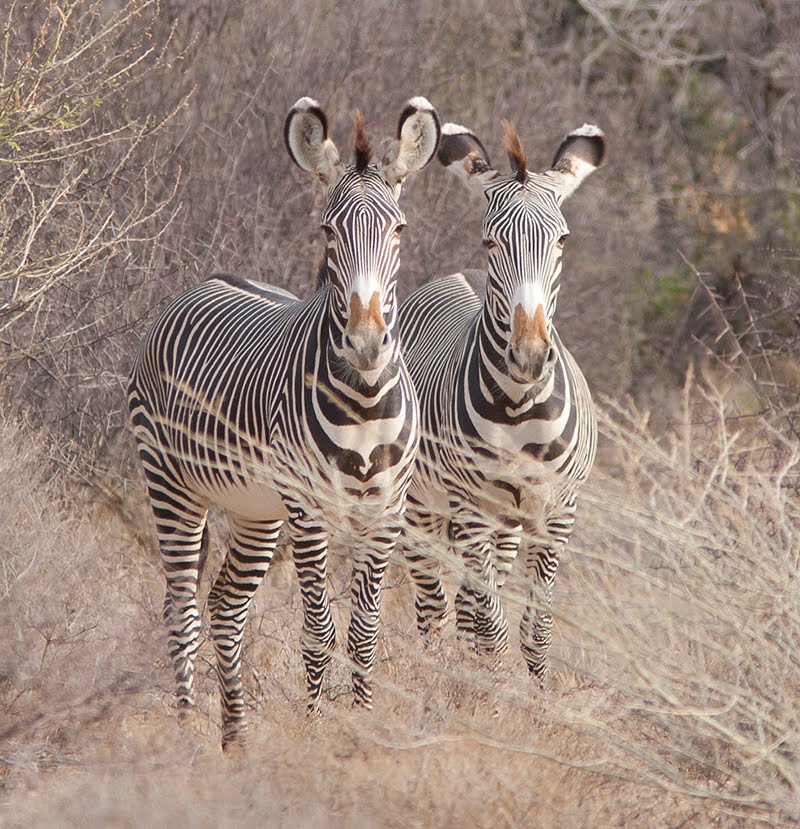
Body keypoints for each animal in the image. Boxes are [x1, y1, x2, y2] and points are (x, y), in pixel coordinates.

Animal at [128, 96, 441, 746]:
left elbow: (365, 632)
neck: (365, 400)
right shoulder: (308, 507)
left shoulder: (387, 511)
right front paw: (316, 729)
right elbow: (318, 628)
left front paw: (362, 723)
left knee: (226, 606)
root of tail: (209, 279)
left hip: (255, 510)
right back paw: (186, 729)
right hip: (171, 484)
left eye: (399, 230)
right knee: (181, 605)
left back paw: (237, 740)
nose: (367, 343)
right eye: (328, 230)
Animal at [398, 118, 605, 683]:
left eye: (562, 241)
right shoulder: (470, 508)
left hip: (507, 526)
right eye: (491, 242)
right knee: (433, 601)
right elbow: (491, 624)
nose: (530, 355)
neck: (519, 408)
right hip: (424, 505)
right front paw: (486, 692)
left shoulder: (558, 512)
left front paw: (534, 695)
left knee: (466, 599)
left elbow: (536, 628)